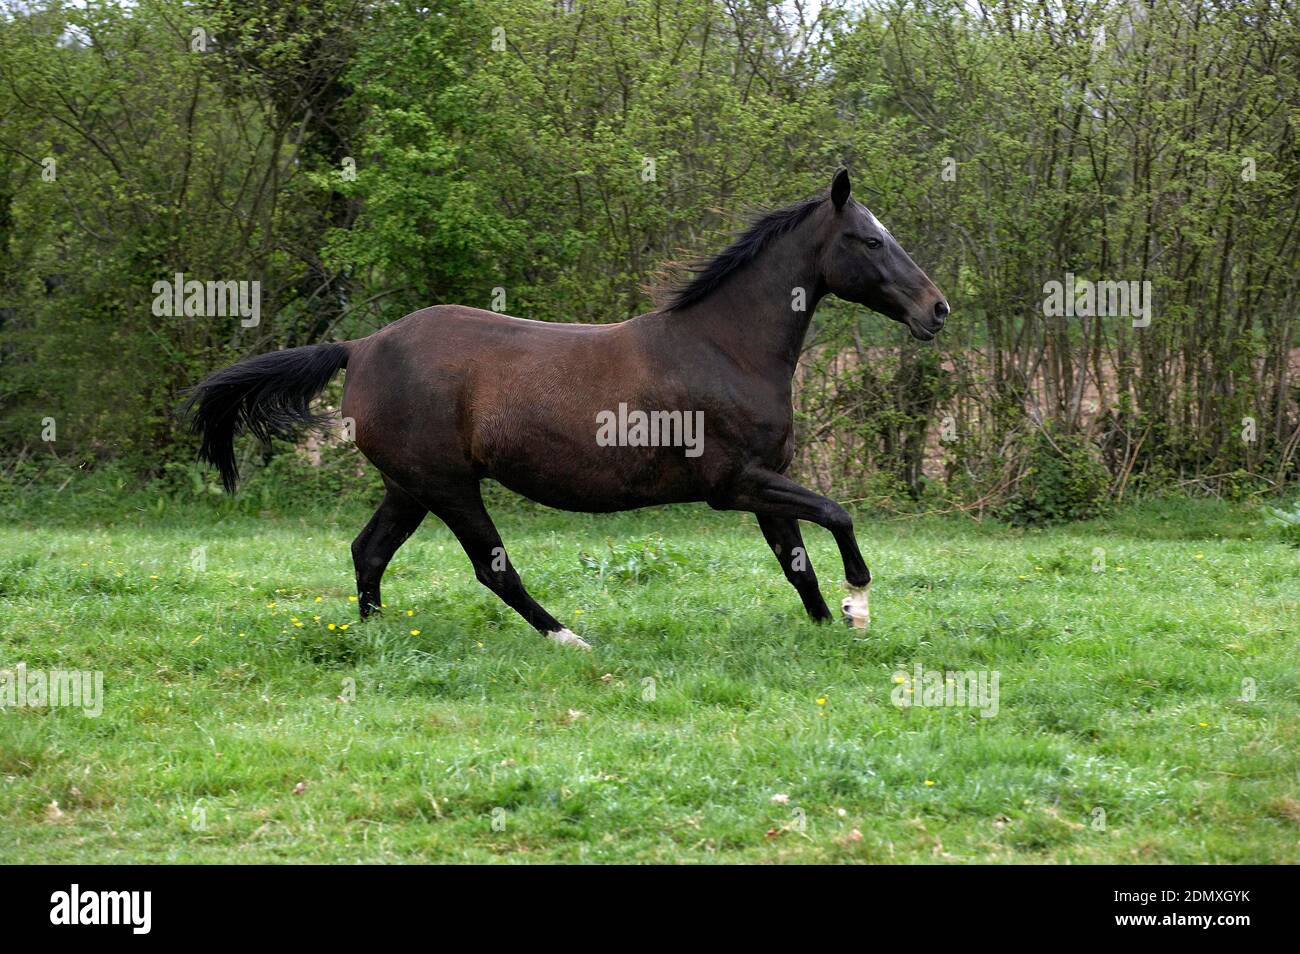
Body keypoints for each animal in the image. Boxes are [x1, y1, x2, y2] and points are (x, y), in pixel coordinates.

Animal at [187, 169, 949, 649]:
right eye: (871, 240)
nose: (936, 310)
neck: (725, 348)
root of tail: (360, 344)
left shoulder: (764, 481)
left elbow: (797, 561)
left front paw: (828, 625)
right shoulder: (733, 485)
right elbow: (837, 516)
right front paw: (858, 606)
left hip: (410, 486)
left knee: (368, 551)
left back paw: (372, 637)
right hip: (448, 486)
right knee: (493, 569)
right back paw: (568, 637)